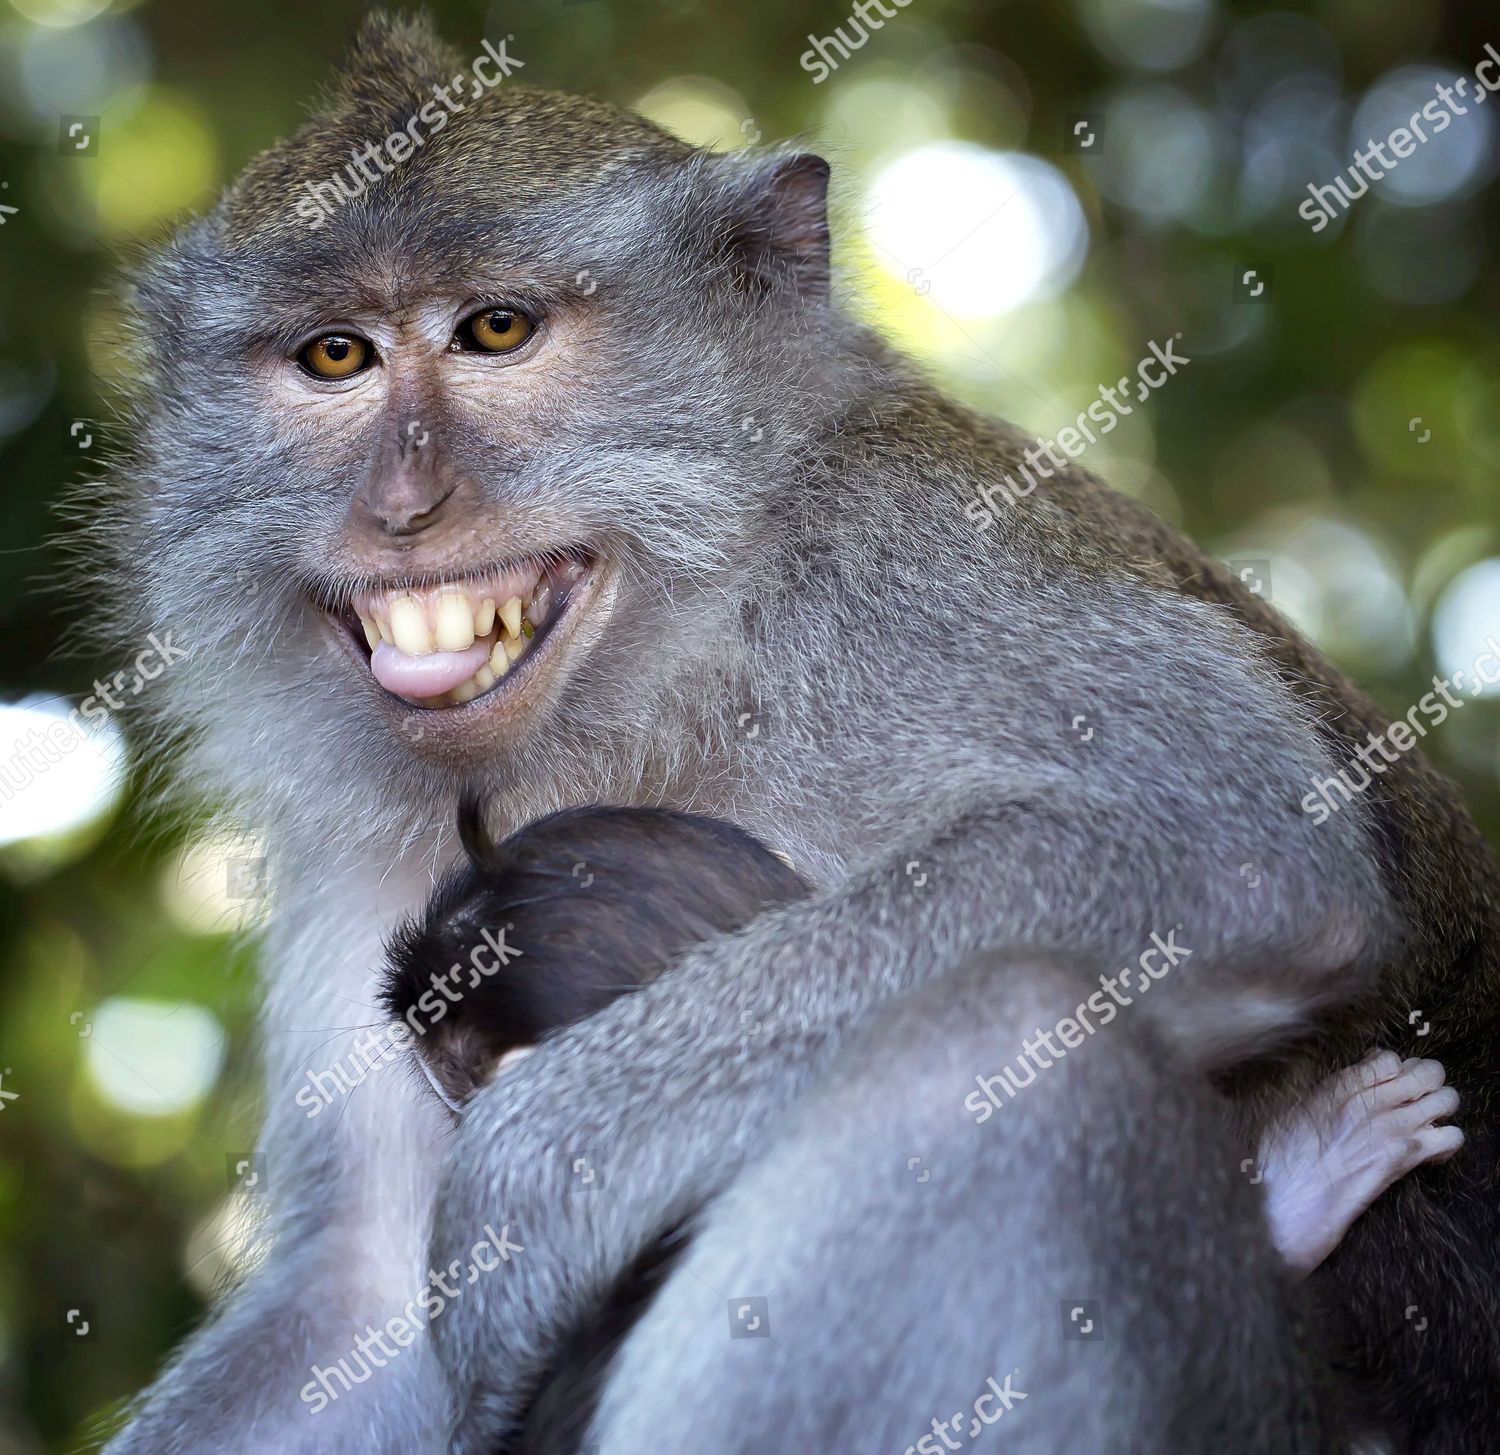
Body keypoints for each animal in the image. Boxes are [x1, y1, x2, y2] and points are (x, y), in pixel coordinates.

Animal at [82, 11, 1500, 1453]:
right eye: (335, 357)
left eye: (495, 329)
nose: (403, 504)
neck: (674, 668)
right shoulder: (360, 857)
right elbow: (358, 1299)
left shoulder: (908, 577)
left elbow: (1246, 851)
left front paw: (533, 1173)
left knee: (1001, 1034)